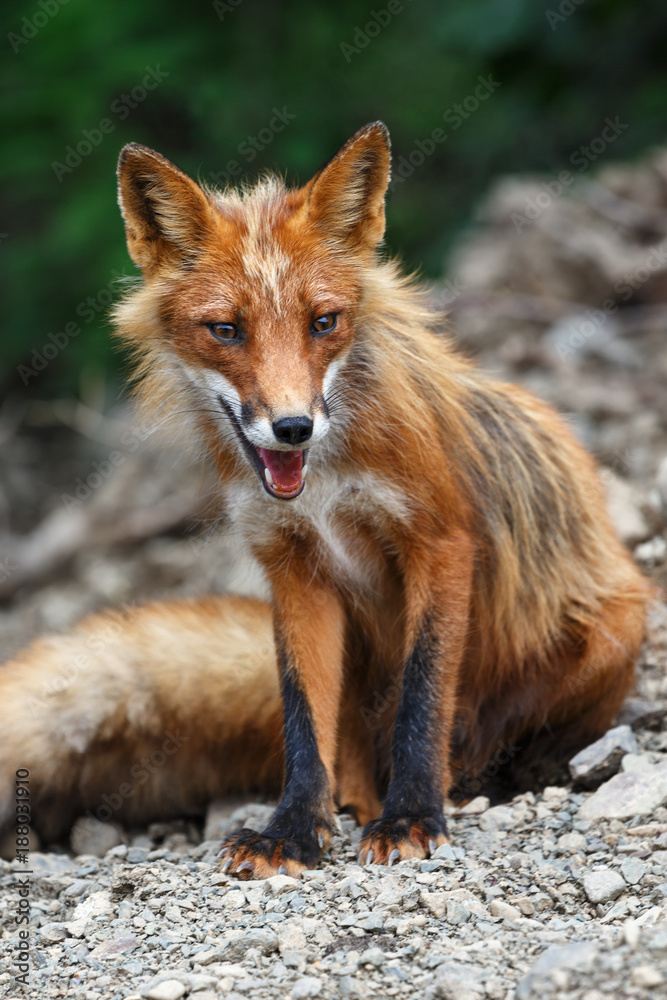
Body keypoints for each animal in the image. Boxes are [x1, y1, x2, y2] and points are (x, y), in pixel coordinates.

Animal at [0, 123, 650, 878]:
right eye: (226, 330)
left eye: (323, 322)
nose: (292, 427)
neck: (325, 490)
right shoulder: (293, 568)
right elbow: (304, 716)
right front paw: (295, 829)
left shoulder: (440, 542)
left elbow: (423, 696)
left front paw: (412, 816)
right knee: (351, 746)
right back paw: (360, 803)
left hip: (613, 627)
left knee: (502, 733)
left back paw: (502, 774)